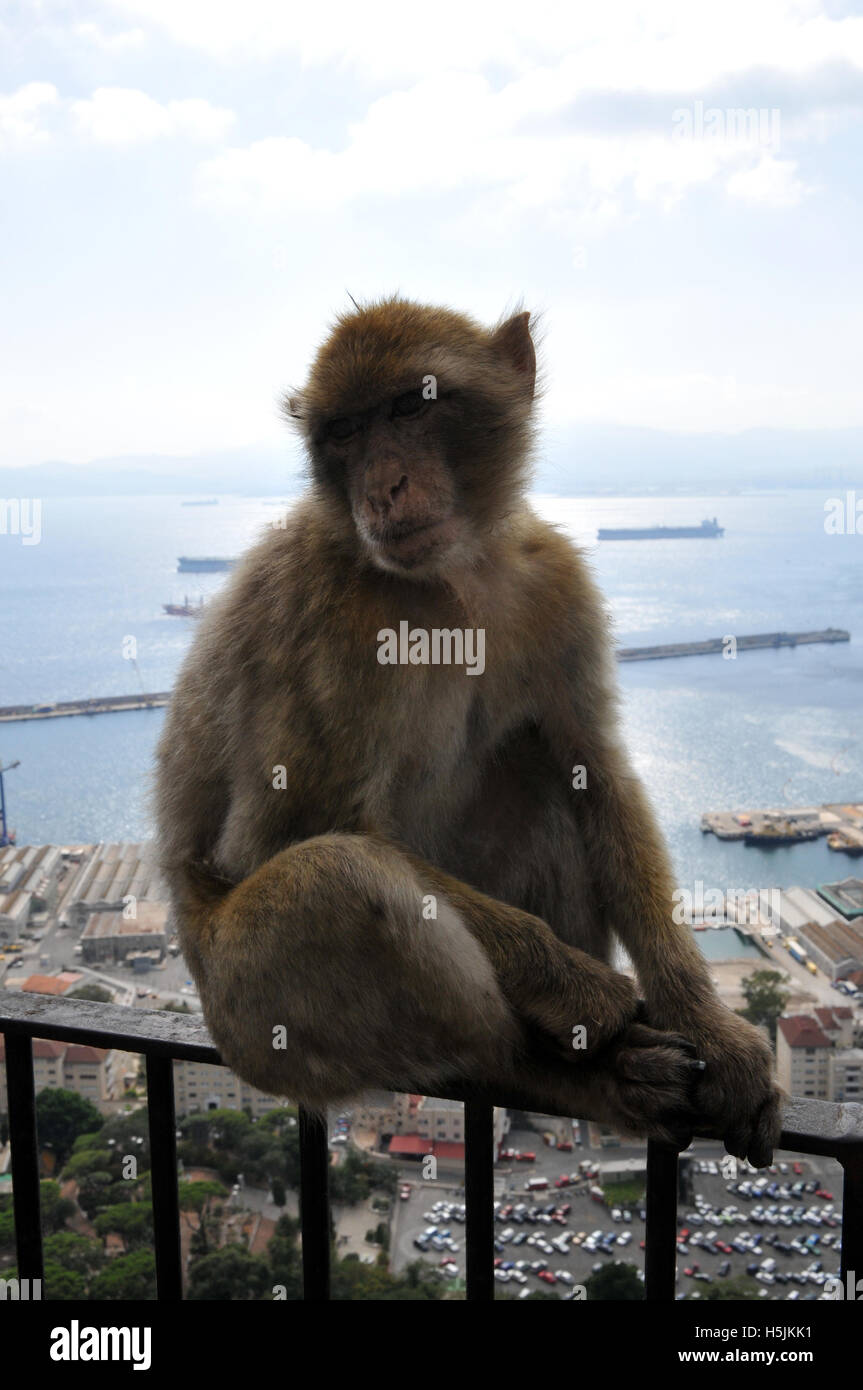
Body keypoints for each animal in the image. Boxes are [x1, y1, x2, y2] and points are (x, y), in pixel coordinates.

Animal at [153, 296, 783, 1166]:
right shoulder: (325, 615)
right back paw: (566, 1071)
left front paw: (711, 1029)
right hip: (252, 1022)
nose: (382, 487)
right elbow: (269, 839)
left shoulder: (555, 581)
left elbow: (595, 768)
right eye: (342, 432)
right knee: (337, 882)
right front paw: (575, 984)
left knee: (541, 774)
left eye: (409, 407)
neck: (452, 578)